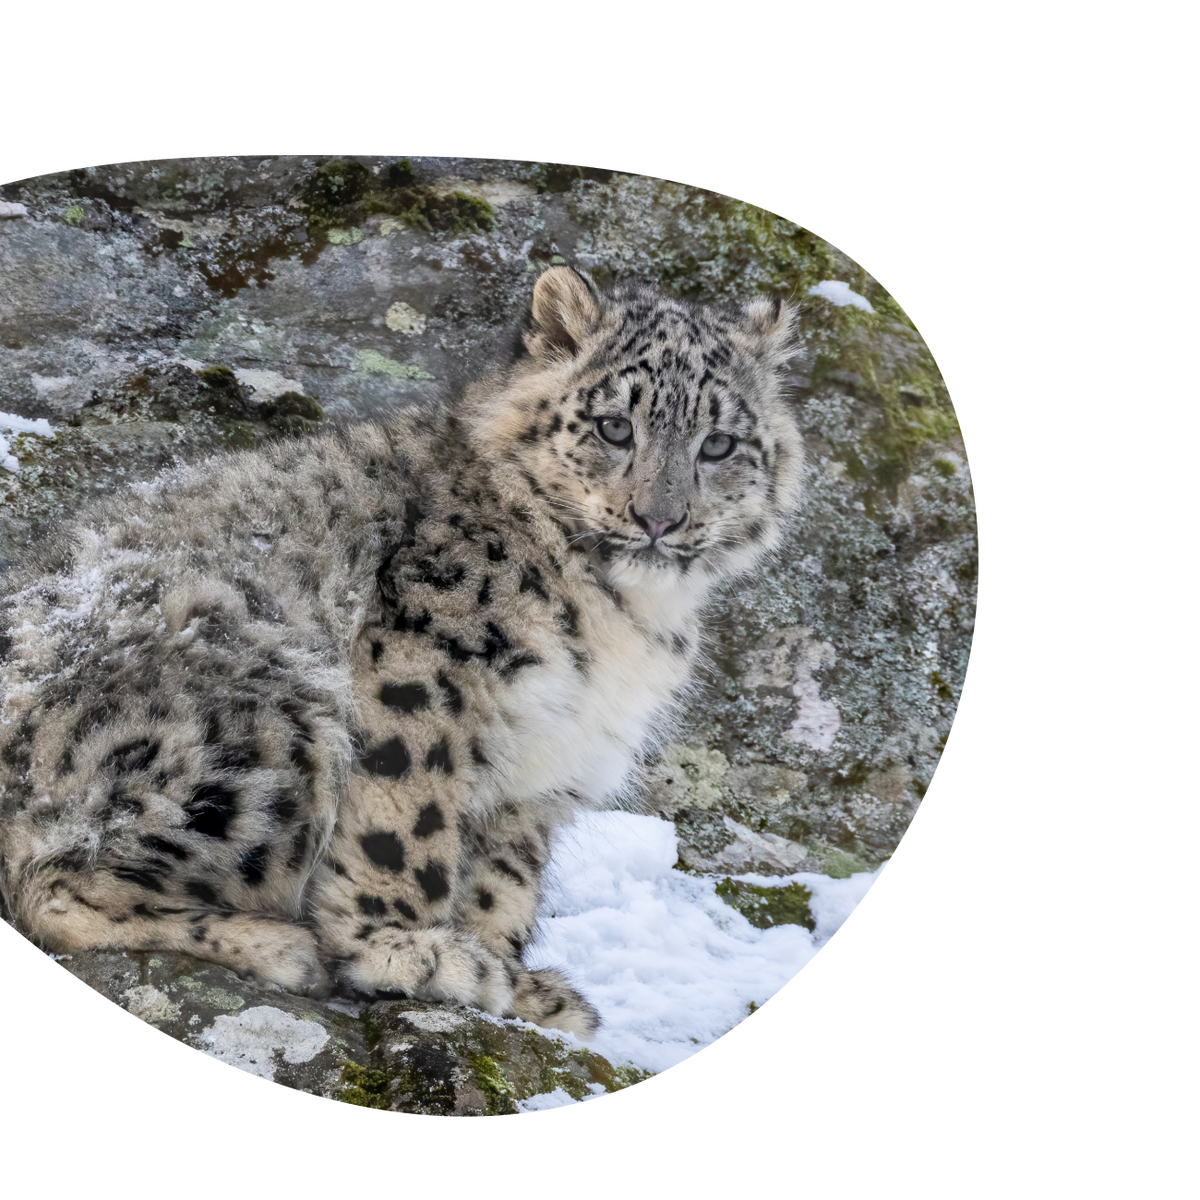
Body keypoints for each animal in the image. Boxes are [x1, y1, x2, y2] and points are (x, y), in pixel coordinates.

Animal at [0, 266, 804, 1039]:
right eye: (613, 426)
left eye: (719, 444)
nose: (660, 519)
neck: (627, 619)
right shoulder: (429, 661)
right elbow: (410, 816)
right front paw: (406, 950)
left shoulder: (546, 768)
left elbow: (504, 879)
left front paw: (511, 982)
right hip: (275, 723)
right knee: (49, 887)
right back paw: (282, 946)